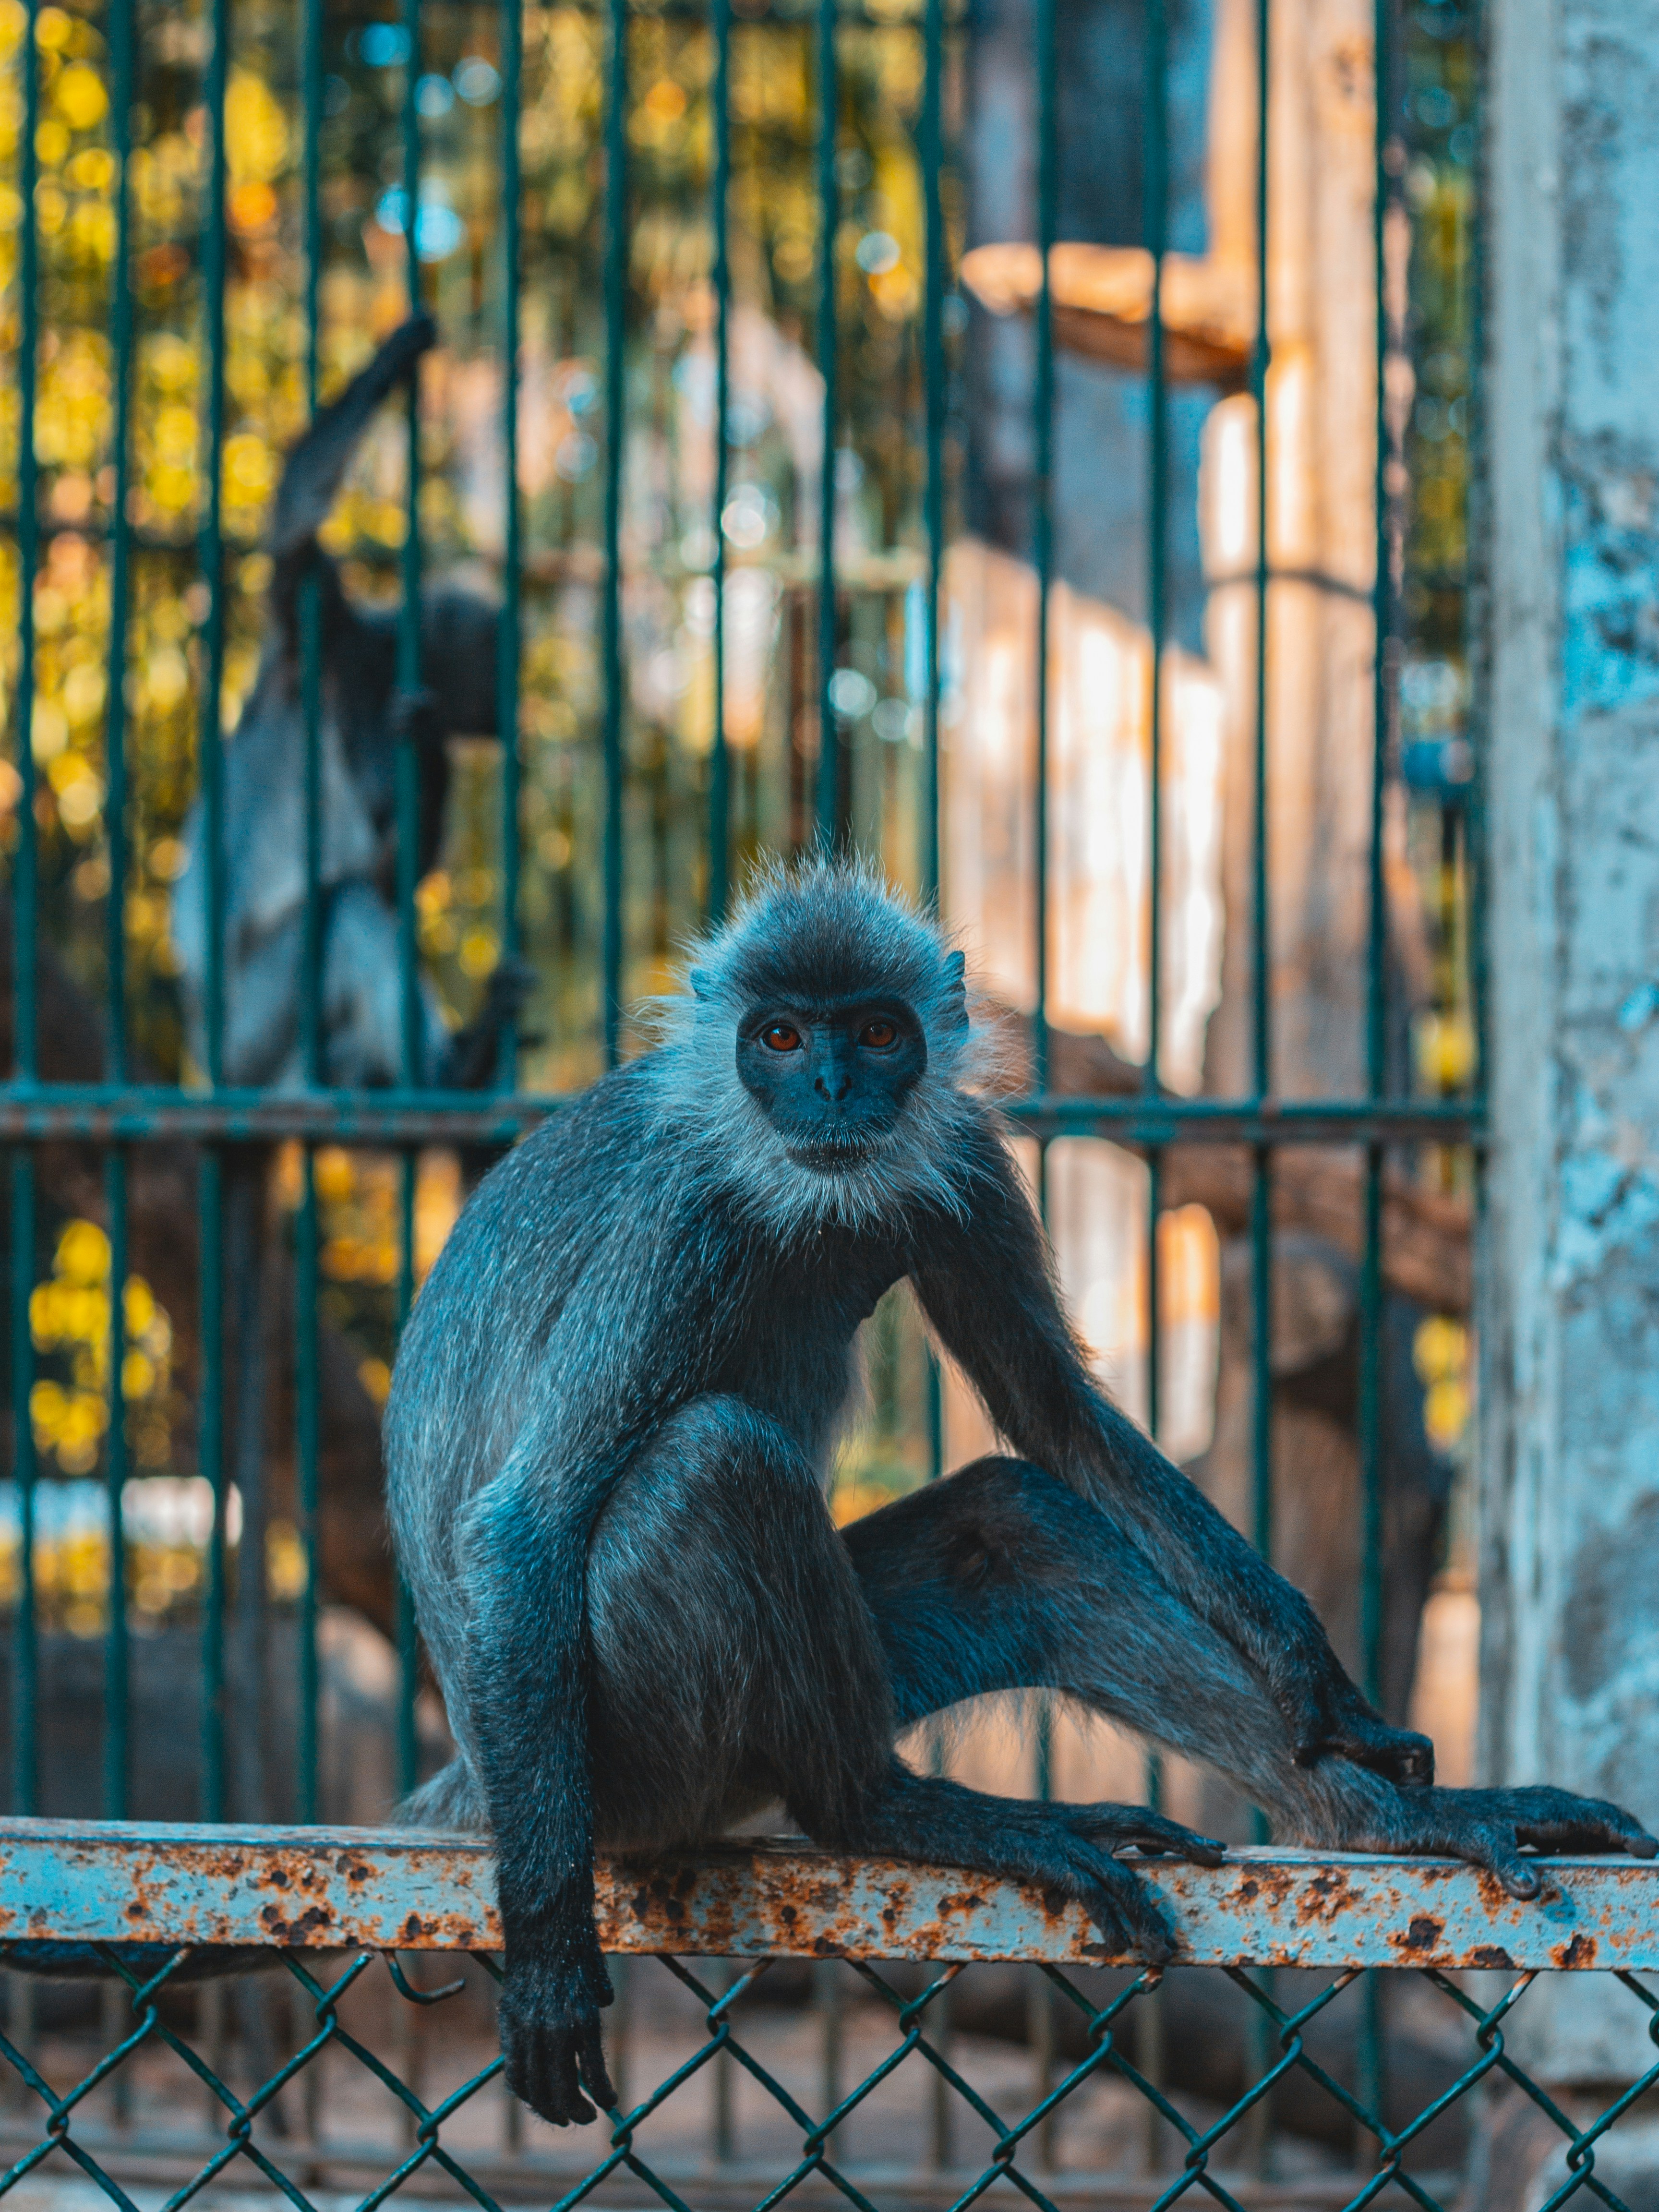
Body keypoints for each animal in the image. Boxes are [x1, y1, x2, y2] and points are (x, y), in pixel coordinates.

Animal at [172, 311, 527, 1093]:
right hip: (254, 1028)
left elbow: (389, 871)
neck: (377, 652)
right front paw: (391, 360)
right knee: (341, 909)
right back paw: (456, 1070)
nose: (513, 698)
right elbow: (292, 539)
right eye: (501, 660)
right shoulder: (321, 627)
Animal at [384, 859, 1656, 2131]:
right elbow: (522, 1522)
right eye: (781, 1037)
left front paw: (1324, 1681)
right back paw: (885, 1811)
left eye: (877, 1032)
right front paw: (549, 1959)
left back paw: (1401, 1824)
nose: (834, 1088)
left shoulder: (963, 1159)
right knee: (714, 1456)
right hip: (637, 1766)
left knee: (1014, 1518)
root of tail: (475, 1777)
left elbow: (1058, 1420)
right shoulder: (679, 1221)